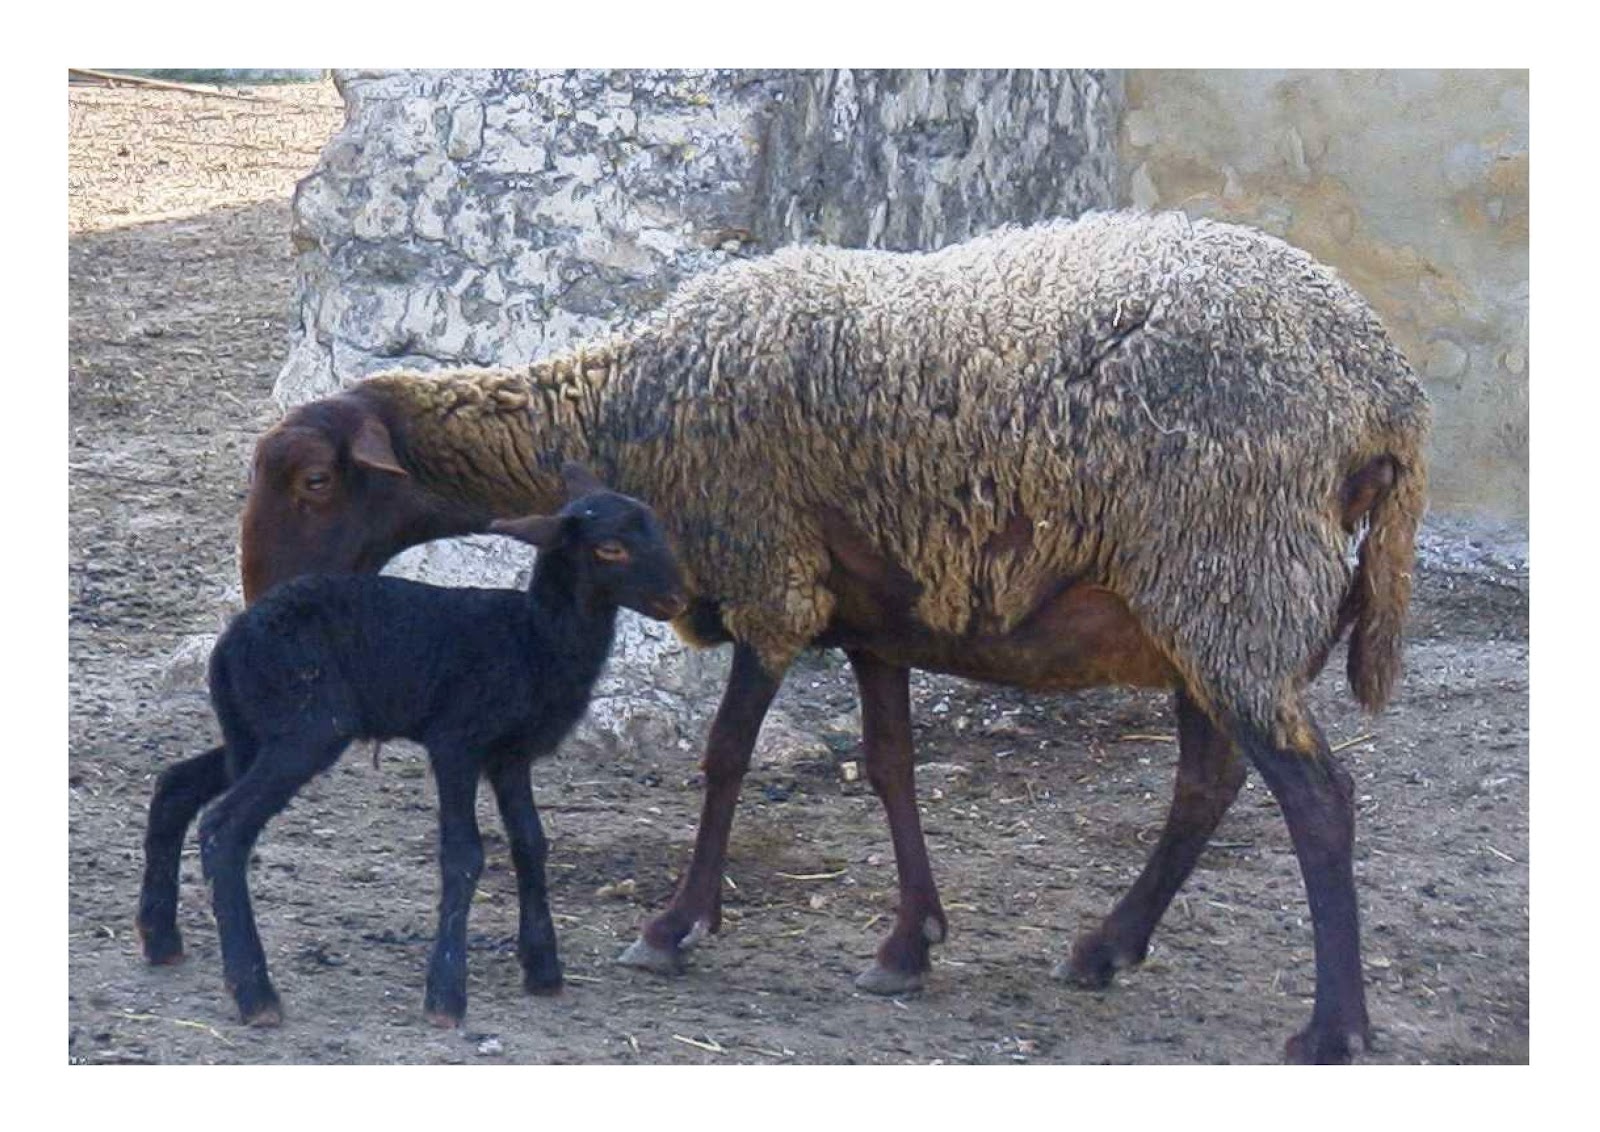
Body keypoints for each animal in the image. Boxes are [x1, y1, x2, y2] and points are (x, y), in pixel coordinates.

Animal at [137, 464, 689, 1027]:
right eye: (610, 549)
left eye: (657, 529)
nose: (677, 601)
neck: (534, 638)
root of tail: (231, 642)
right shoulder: (455, 741)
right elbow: (463, 854)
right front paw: (445, 996)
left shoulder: (511, 755)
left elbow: (531, 843)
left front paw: (543, 970)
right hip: (305, 730)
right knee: (224, 828)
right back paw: (256, 994)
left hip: (254, 732)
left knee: (175, 785)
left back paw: (161, 940)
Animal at [234, 211, 1429, 1062]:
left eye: (312, 481)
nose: (259, 603)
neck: (627, 412)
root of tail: (1382, 390)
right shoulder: (877, 614)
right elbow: (890, 766)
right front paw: (909, 943)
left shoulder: (772, 579)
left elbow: (724, 757)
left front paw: (675, 925)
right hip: (1210, 610)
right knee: (1207, 785)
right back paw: (1106, 947)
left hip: (1234, 583)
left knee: (1317, 799)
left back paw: (1333, 1029)